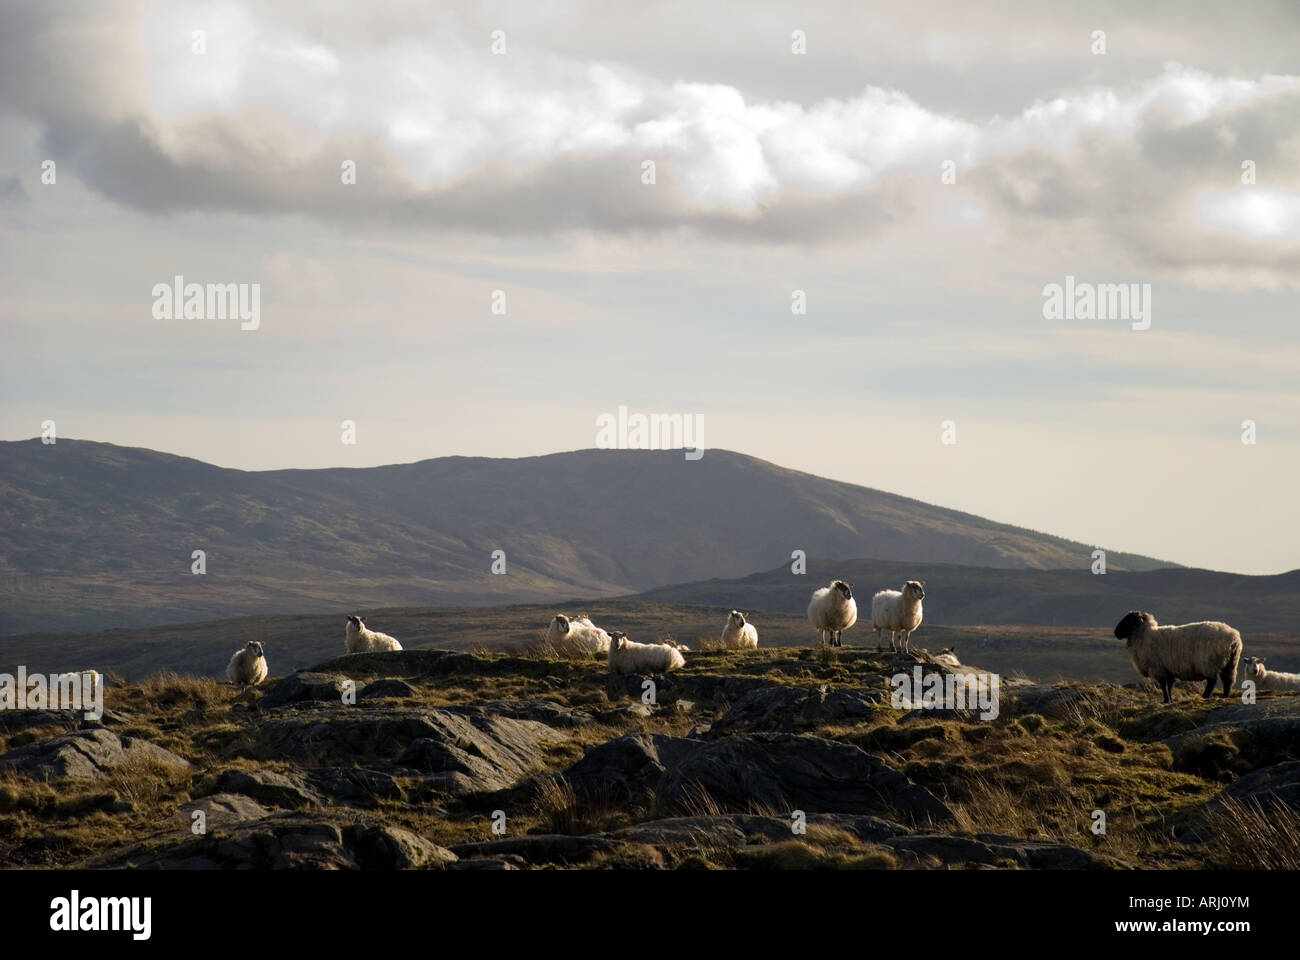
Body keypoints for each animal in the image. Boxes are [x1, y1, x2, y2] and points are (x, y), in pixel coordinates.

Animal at [1113, 611, 1242, 703]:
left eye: (1129, 620)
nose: (1115, 633)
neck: (1144, 635)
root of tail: (1233, 638)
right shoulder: (1169, 669)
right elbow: (1170, 686)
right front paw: (1170, 700)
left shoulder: (1159, 669)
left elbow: (1163, 686)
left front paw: (1165, 700)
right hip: (1231, 662)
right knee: (1228, 680)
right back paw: (1225, 696)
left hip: (1209, 662)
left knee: (1212, 681)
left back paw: (1205, 696)